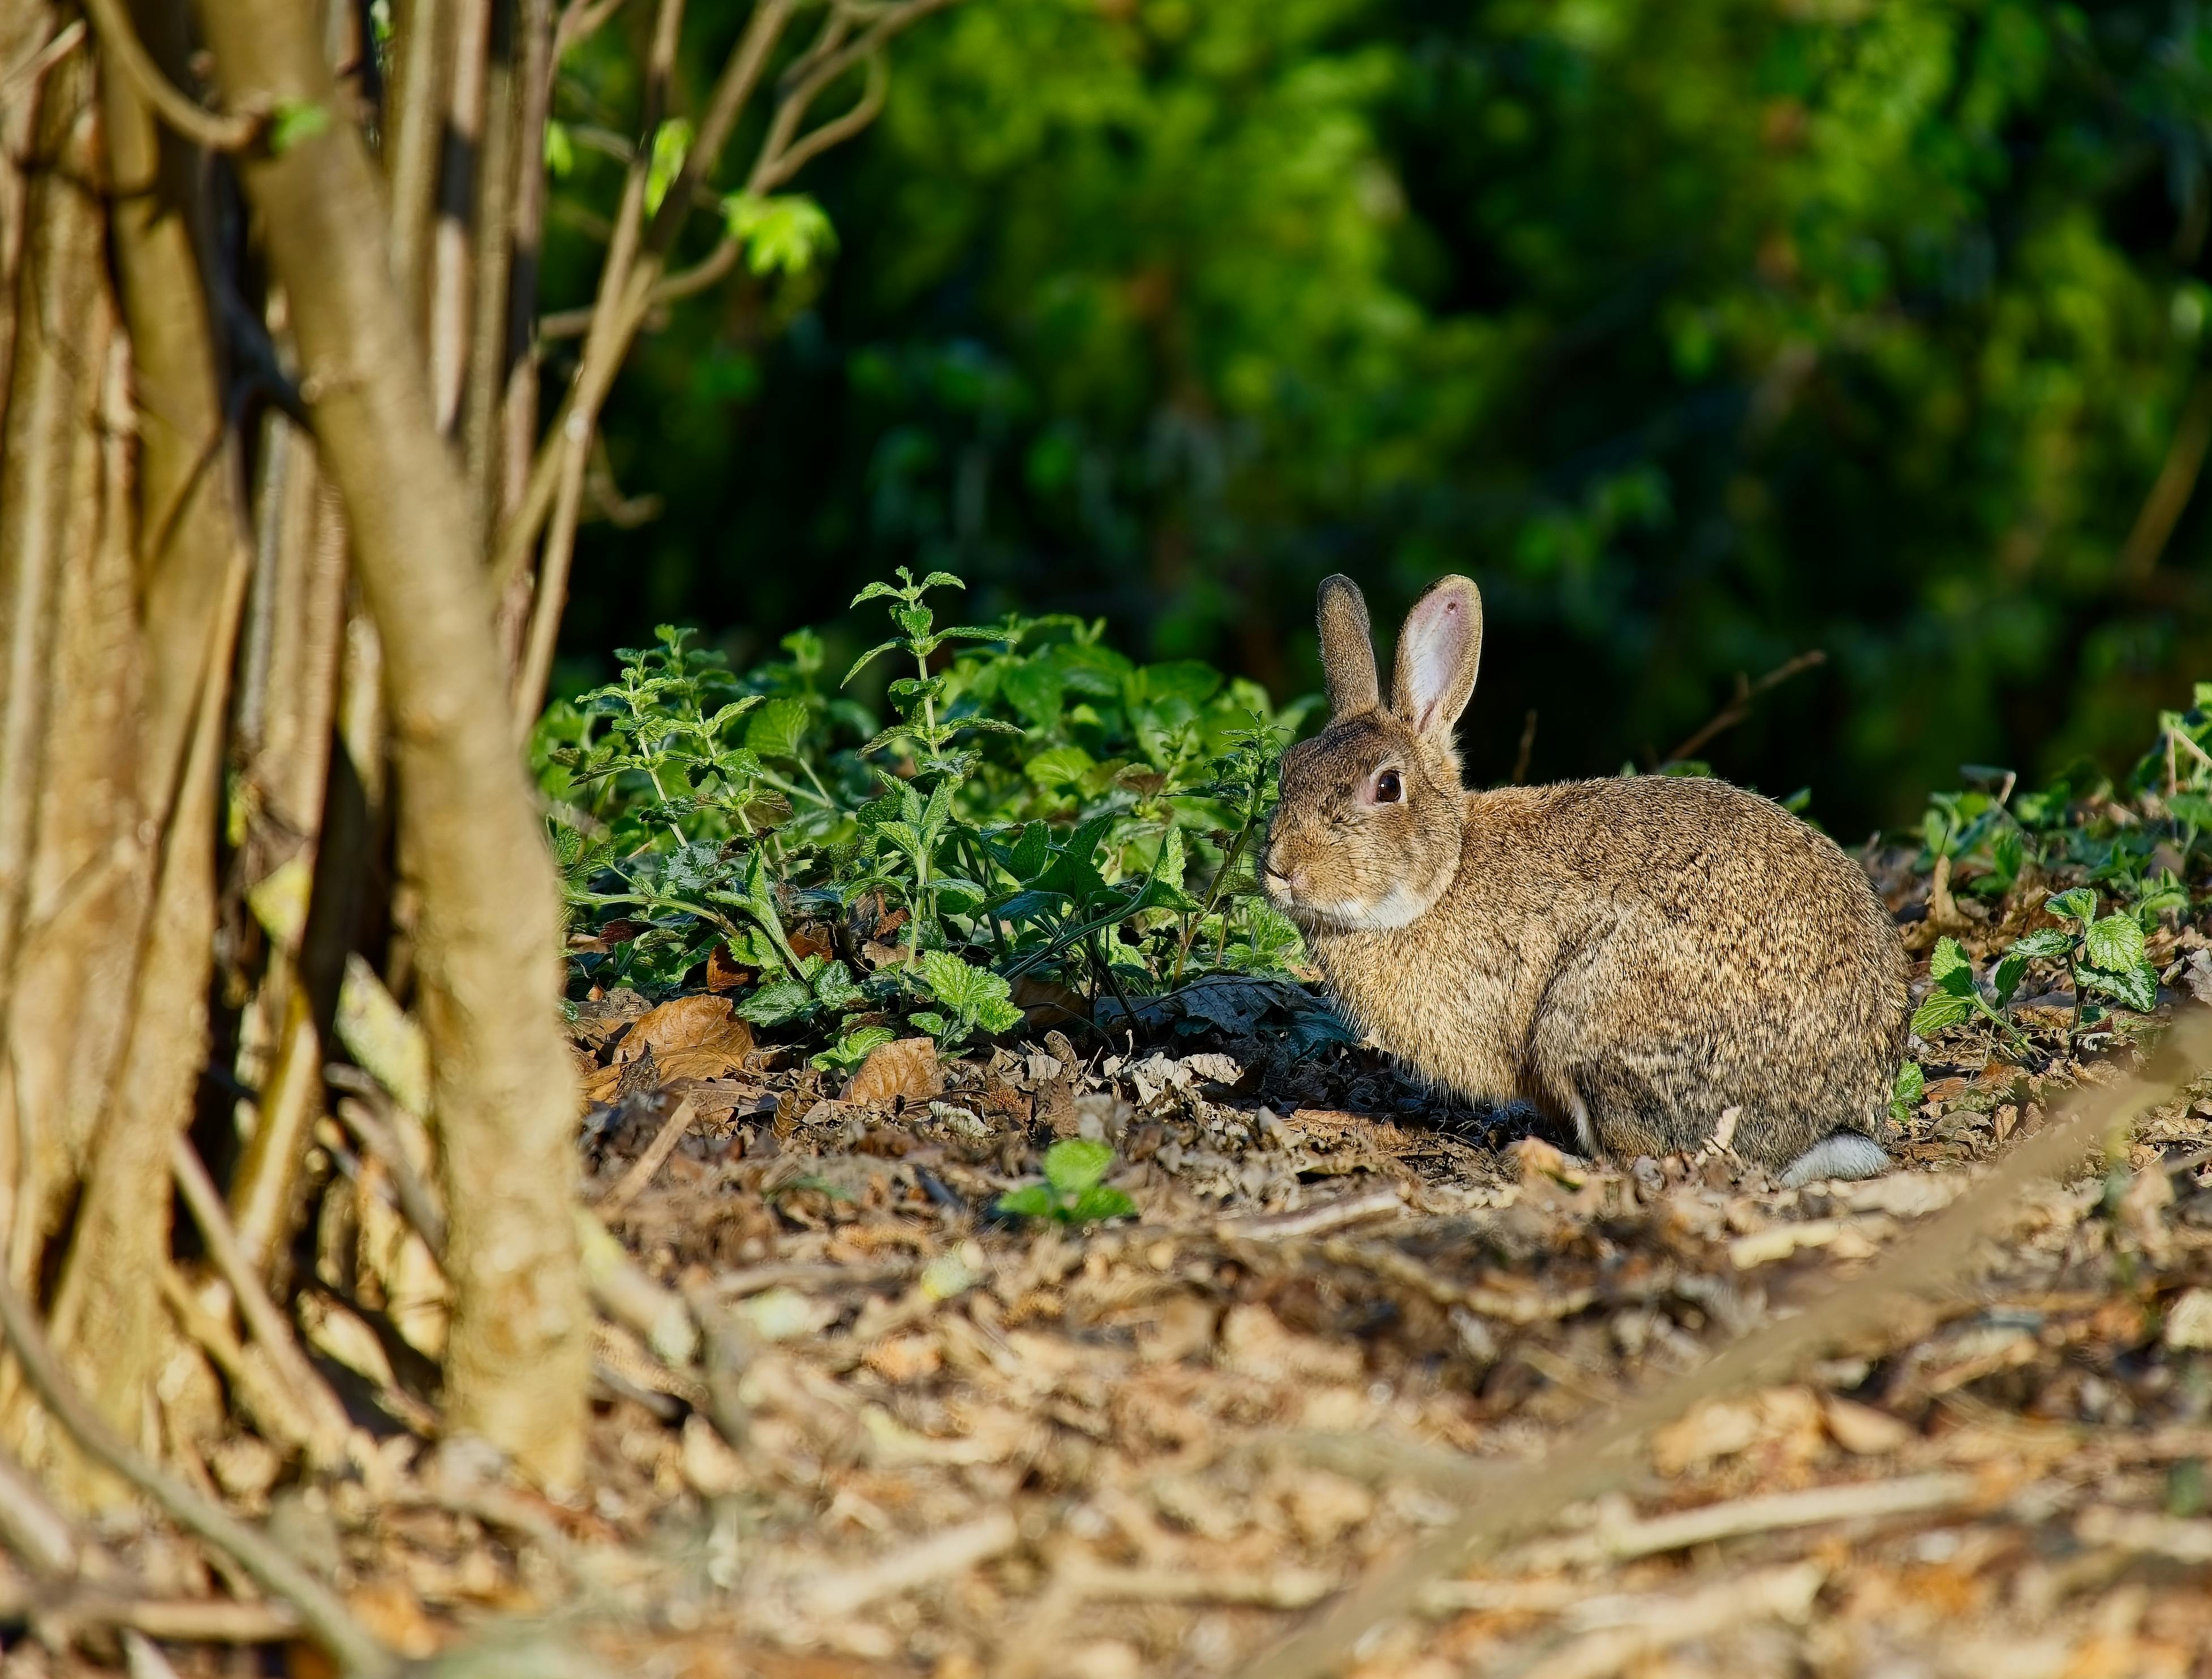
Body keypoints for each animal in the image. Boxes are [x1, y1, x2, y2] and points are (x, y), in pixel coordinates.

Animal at [1261, 573, 1909, 1187]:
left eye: (1388, 786)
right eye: (1288, 770)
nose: (1282, 869)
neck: (1445, 875)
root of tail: (1836, 1120)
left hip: (1587, 1028)